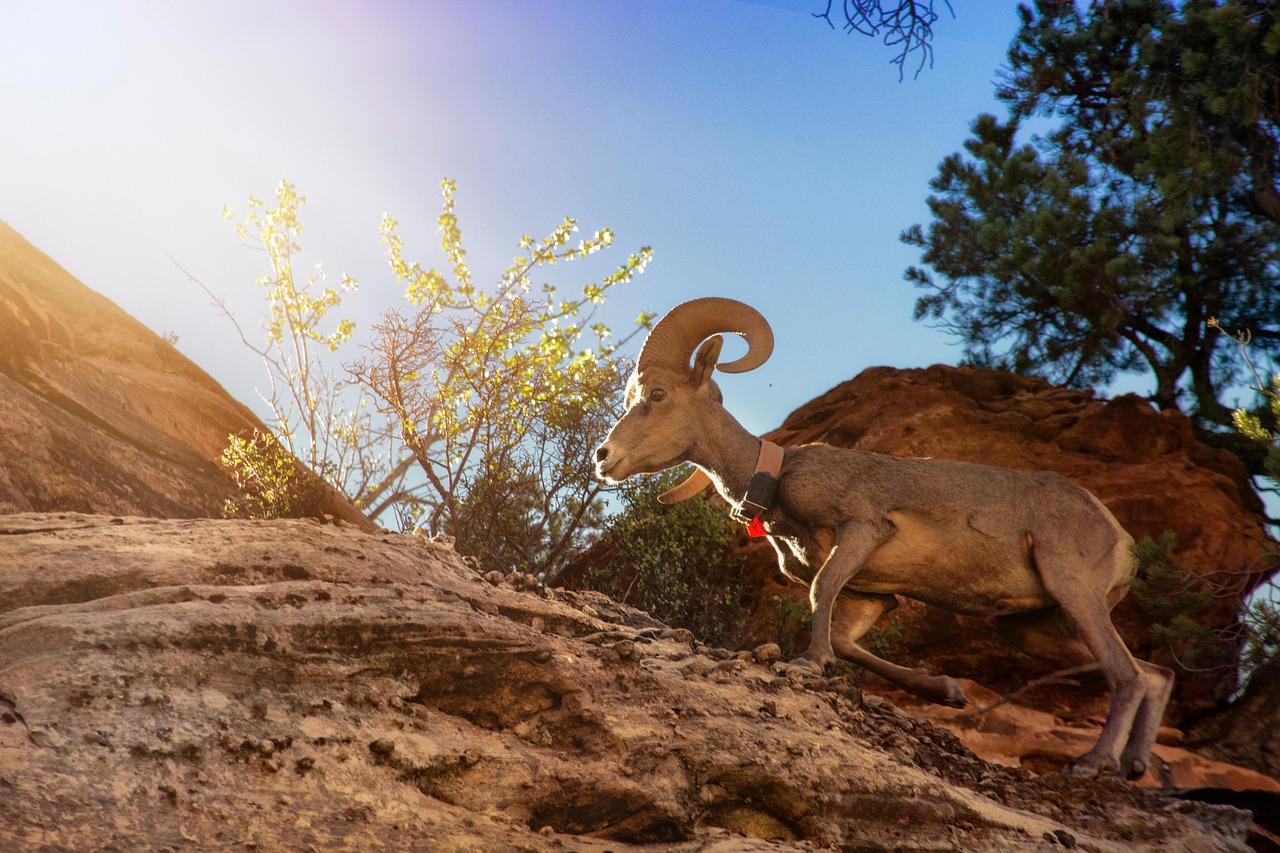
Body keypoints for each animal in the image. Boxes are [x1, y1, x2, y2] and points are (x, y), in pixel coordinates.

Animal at [594, 297, 1174, 779]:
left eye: (657, 395)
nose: (603, 457)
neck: (775, 480)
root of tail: (1120, 537)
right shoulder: (873, 595)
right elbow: (851, 641)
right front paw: (946, 692)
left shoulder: (863, 531)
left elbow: (819, 594)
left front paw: (808, 663)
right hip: (1036, 628)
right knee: (1155, 674)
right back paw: (1134, 766)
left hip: (1071, 590)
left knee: (1126, 675)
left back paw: (1092, 763)